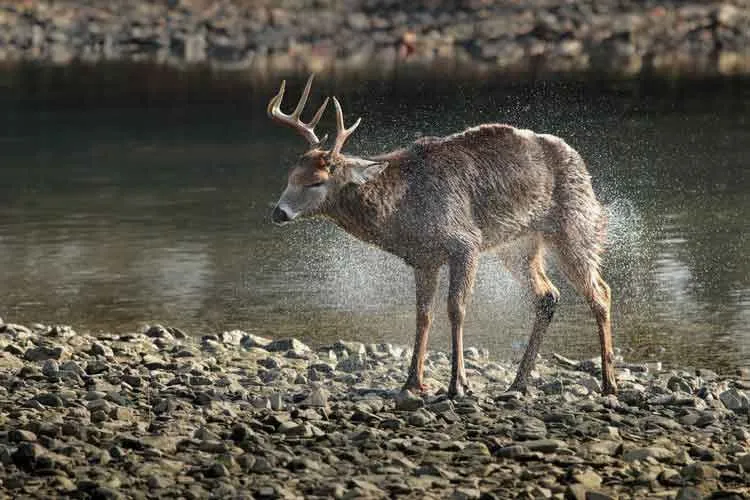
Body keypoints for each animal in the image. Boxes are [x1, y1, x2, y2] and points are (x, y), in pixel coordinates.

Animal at [268, 74, 620, 396]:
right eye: (290, 176)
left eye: (316, 181)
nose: (278, 213)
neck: (403, 211)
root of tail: (580, 163)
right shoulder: (424, 259)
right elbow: (423, 315)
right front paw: (412, 381)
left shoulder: (465, 242)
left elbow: (456, 308)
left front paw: (458, 384)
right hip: (518, 246)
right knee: (548, 295)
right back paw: (517, 383)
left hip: (574, 225)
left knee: (600, 291)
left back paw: (609, 383)